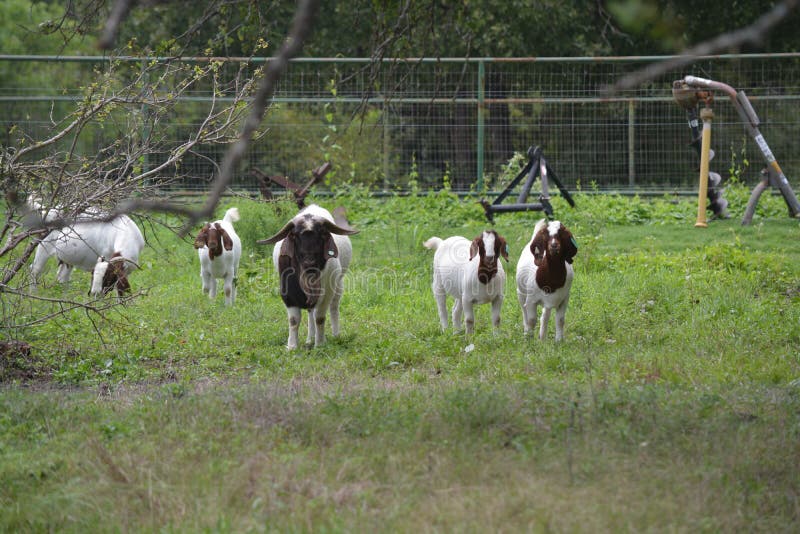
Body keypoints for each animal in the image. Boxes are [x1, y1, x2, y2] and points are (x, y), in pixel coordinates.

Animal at [257, 204, 358, 349]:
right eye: (295, 235)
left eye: (321, 233)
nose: (309, 262)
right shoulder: (287, 294)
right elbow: (294, 320)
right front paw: (292, 346)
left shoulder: (326, 293)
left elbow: (320, 318)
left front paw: (320, 344)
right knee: (311, 312)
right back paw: (310, 339)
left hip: (338, 285)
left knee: (333, 307)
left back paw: (335, 335)